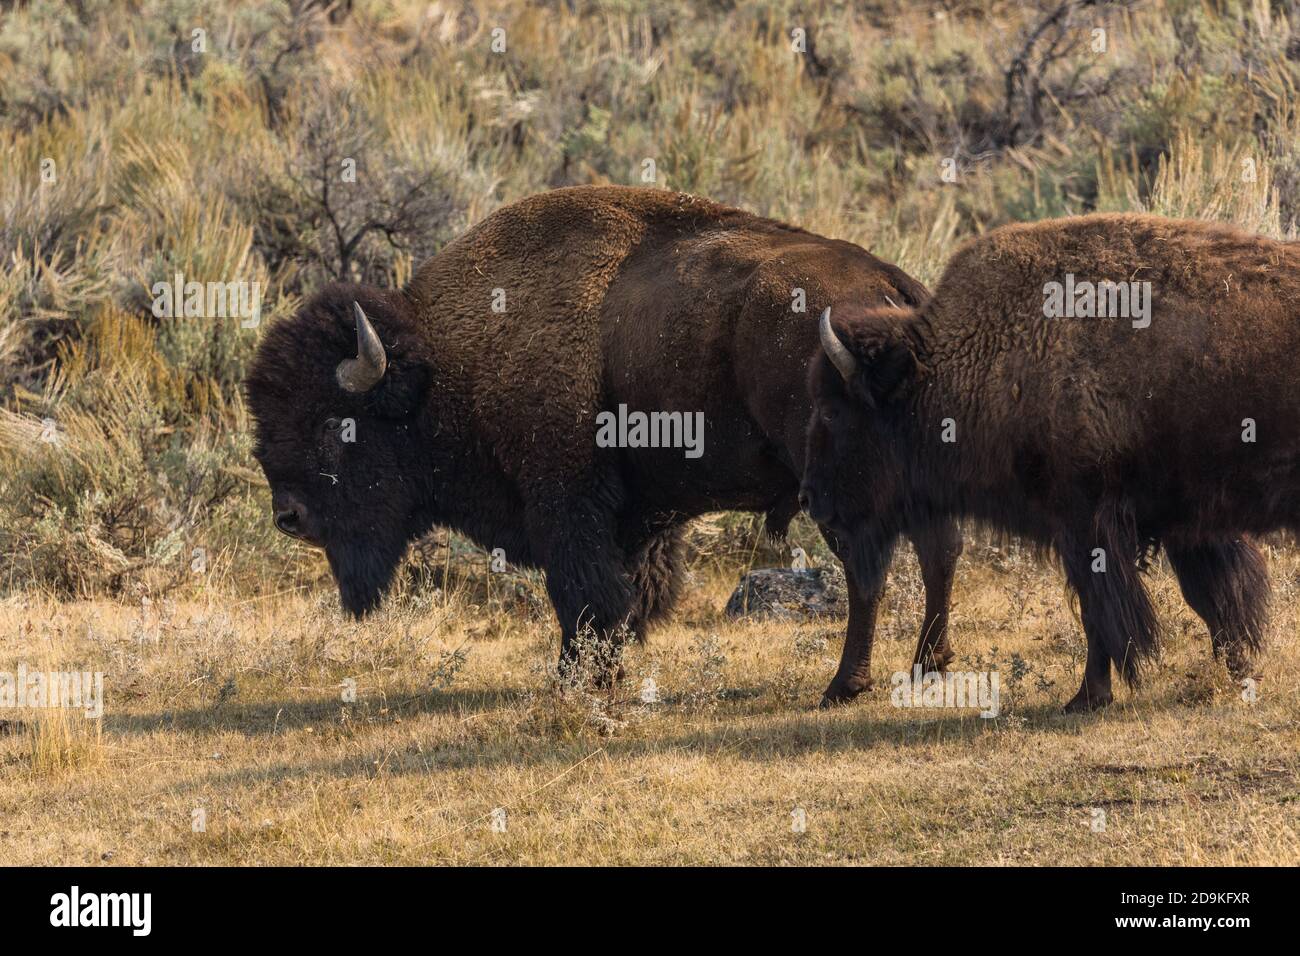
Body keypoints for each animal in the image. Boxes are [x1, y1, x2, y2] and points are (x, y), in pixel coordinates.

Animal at [245, 185, 963, 704]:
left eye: (334, 425)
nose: (289, 517)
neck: (445, 363)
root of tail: (894, 285)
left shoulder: (565, 502)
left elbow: (583, 593)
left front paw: (578, 680)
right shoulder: (636, 516)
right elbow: (623, 595)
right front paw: (600, 671)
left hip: (839, 479)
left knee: (870, 566)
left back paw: (845, 685)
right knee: (939, 550)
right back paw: (927, 667)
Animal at [800, 213, 1296, 712]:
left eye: (832, 411)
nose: (808, 499)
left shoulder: (1086, 524)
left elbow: (1102, 615)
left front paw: (1087, 697)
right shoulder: (1181, 523)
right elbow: (1213, 597)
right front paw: (1238, 670)